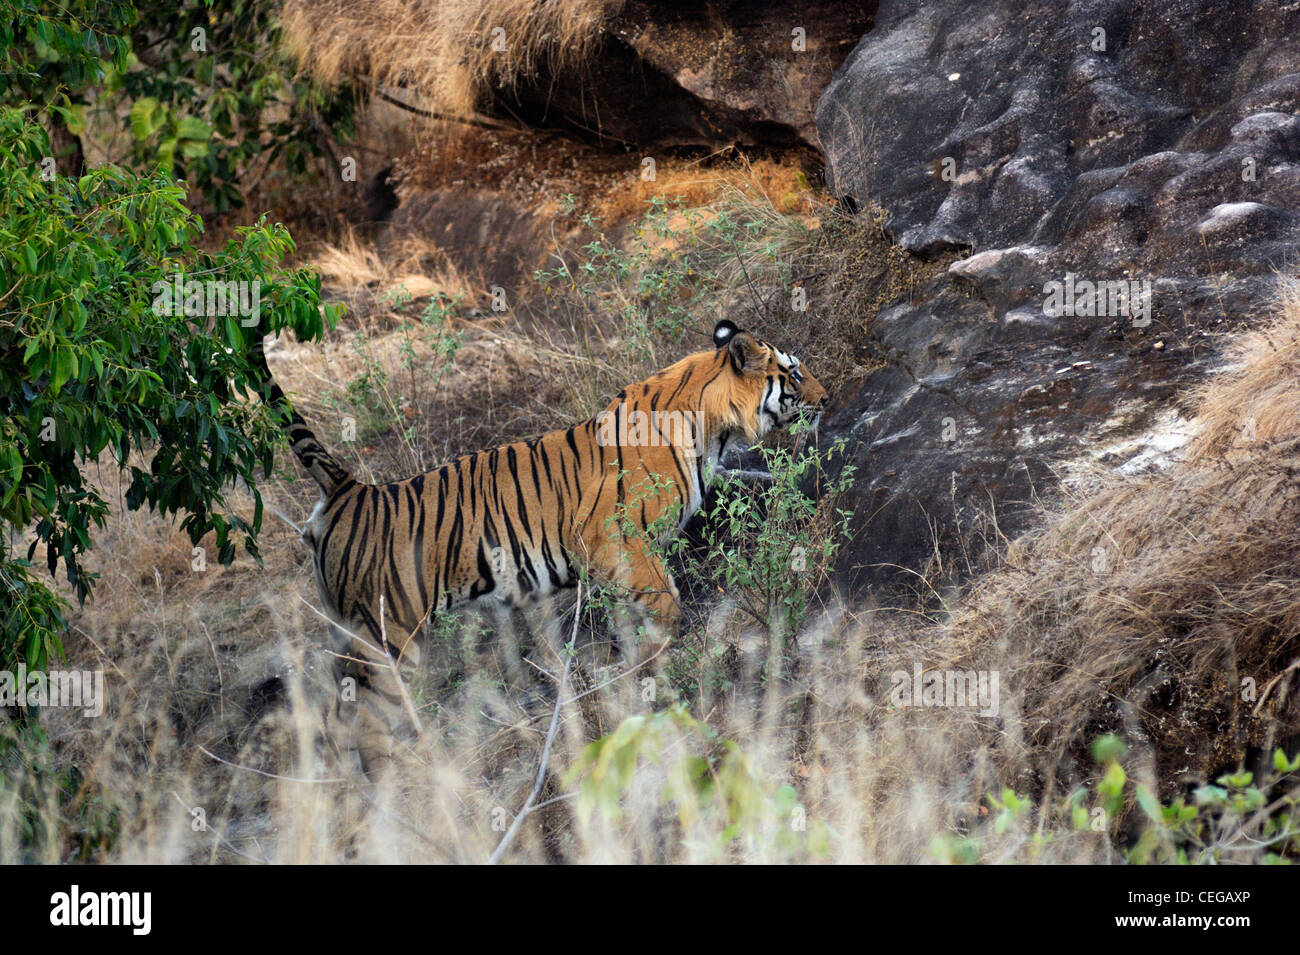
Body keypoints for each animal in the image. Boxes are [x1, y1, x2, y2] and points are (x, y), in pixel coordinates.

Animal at [255, 319, 828, 769]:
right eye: (796, 373)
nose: (826, 399)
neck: (711, 426)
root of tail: (348, 488)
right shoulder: (616, 540)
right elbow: (666, 602)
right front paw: (660, 665)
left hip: (350, 634)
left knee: (335, 721)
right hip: (387, 637)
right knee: (363, 724)